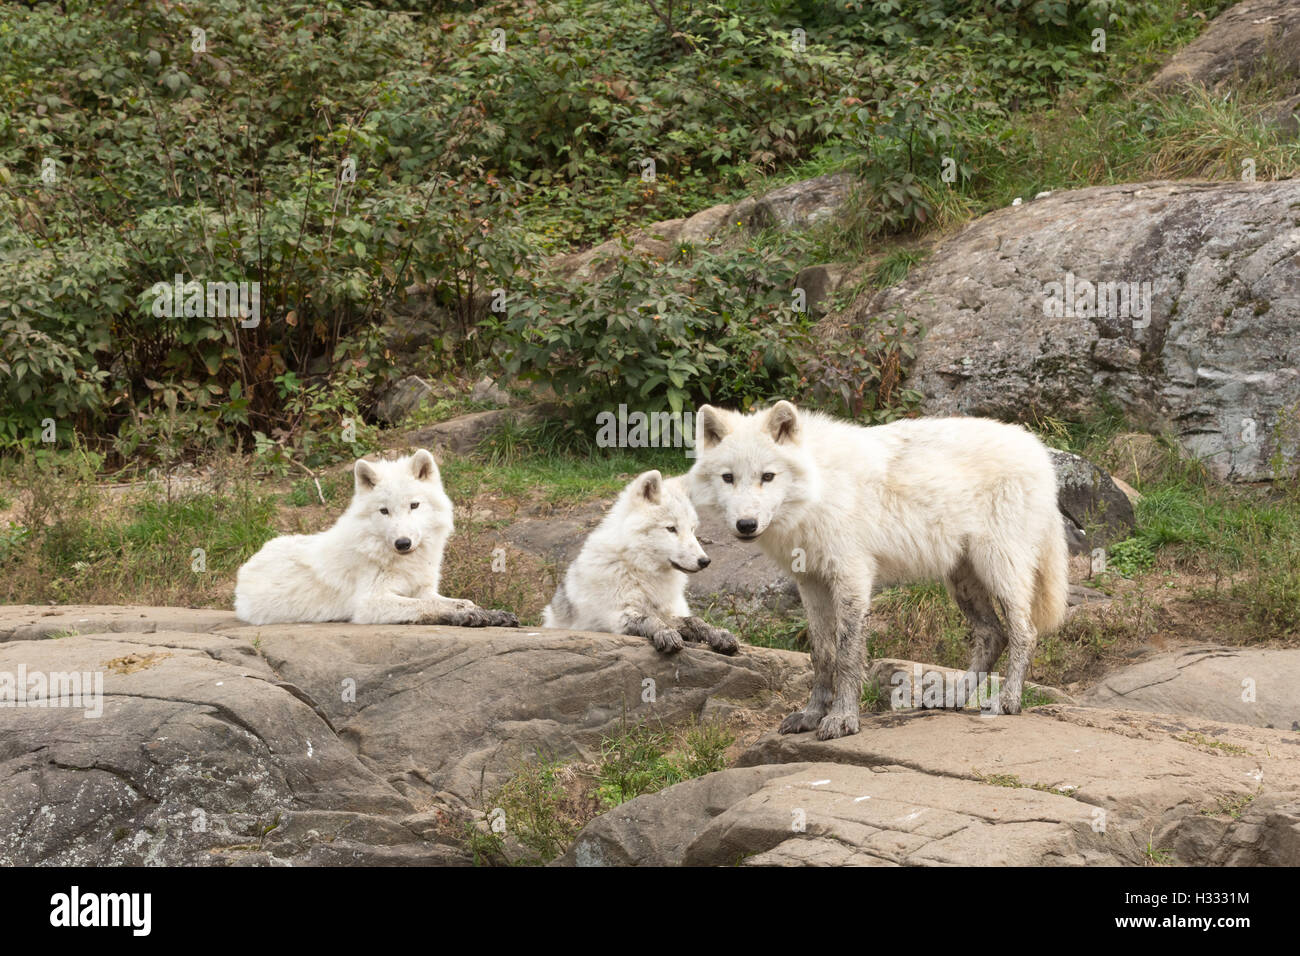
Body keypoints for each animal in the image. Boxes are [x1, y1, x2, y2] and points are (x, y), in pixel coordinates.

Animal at [234, 449, 519, 628]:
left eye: (414, 505)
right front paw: (467, 617)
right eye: (384, 511)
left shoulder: (424, 589)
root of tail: (252, 559)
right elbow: (428, 608)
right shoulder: (369, 603)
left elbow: (462, 601)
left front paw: (491, 614)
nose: (402, 543)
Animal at [542, 470, 739, 655]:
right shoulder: (616, 617)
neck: (640, 570)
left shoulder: (668, 611)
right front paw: (666, 634)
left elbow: (694, 620)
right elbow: (648, 619)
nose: (705, 561)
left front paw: (719, 634)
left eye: (692, 529)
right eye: (671, 529)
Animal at [688, 401, 1068, 738]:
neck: (819, 488)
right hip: (962, 580)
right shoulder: (810, 582)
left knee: (1025, 633)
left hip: (999, 568)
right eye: (728, 478)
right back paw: (953, 697)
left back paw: (1008, 700)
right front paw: (811, 715)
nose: (746, 524)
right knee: (993, 635)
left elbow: (846, 654)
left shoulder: (851, 576)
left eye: (767, 476)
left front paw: (843, 720)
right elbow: (821, 654)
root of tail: (1038, 449)